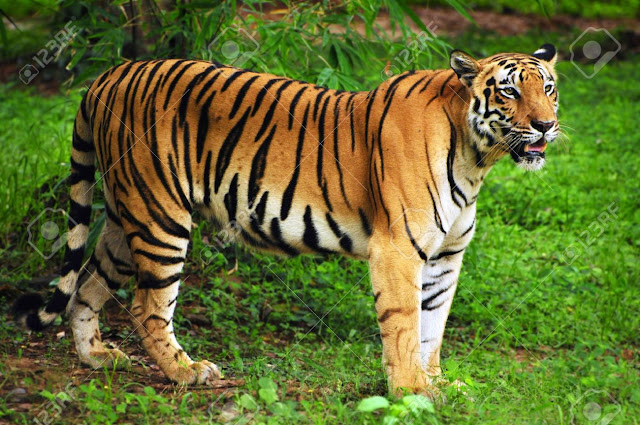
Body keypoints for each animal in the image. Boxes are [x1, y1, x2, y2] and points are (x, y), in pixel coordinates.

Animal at [15, 43, 559, 396]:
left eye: (549, 88)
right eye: (509, 92)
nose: (546, 124)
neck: (477, 157)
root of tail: (106, 76)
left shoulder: (446, 255)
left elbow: (433, 326)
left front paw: (438, 383)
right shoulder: (398, 248)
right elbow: (405, 324)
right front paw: (412, 391)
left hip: (125, 218)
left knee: (87, 284)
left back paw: (96, 356)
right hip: (160, 217)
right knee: (147, 307)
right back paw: (186, 372)